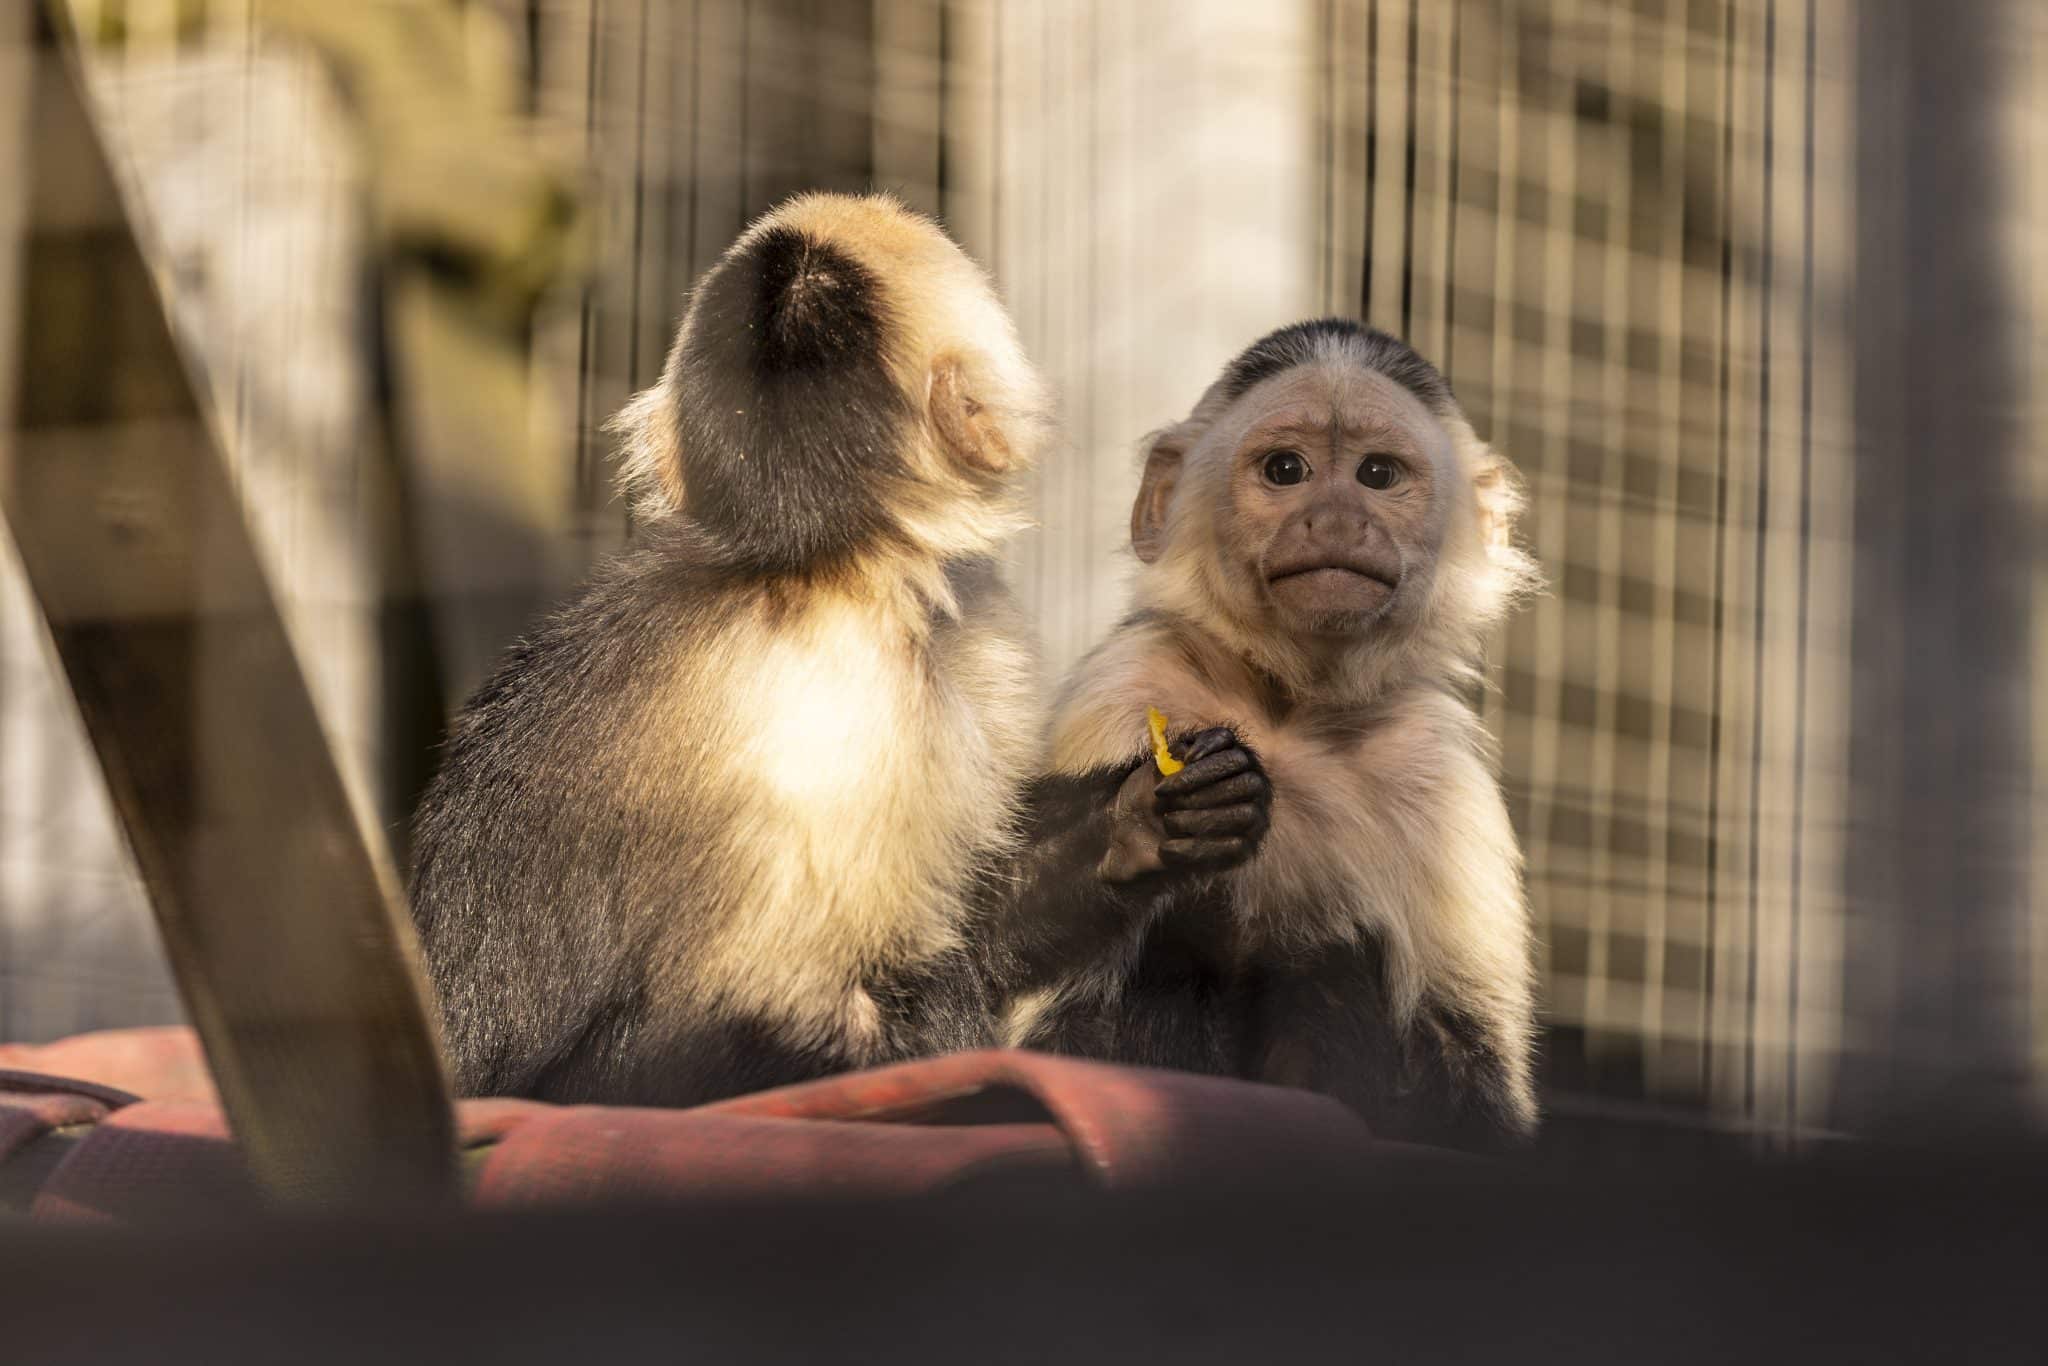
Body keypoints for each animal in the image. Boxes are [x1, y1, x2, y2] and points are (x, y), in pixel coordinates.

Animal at [1011, 319, 1543, 1151]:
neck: (1288, 710)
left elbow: (1473, 1092)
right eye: (1286, 470)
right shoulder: (1129, 689)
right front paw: (1139, 821)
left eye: (1378, 474)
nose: (1336, 518)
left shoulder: (1436, 772)